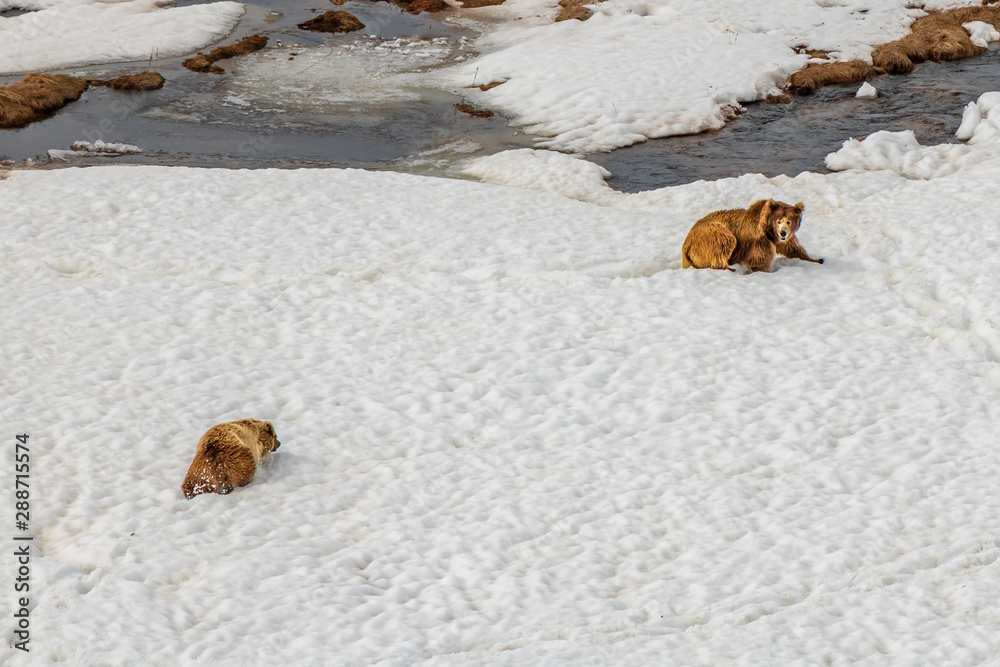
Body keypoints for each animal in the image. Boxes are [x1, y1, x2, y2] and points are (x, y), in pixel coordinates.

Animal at [681, 199, 823, 273]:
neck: (771, 233)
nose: (783, 232)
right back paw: (729, 268)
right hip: (710, 234)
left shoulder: (783, 241)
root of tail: (685, 246)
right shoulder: (759, 242)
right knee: (725, 240)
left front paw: (817, 260)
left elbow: (794, 248)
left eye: (789, 221)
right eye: (779, 220)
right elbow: (760, 260)